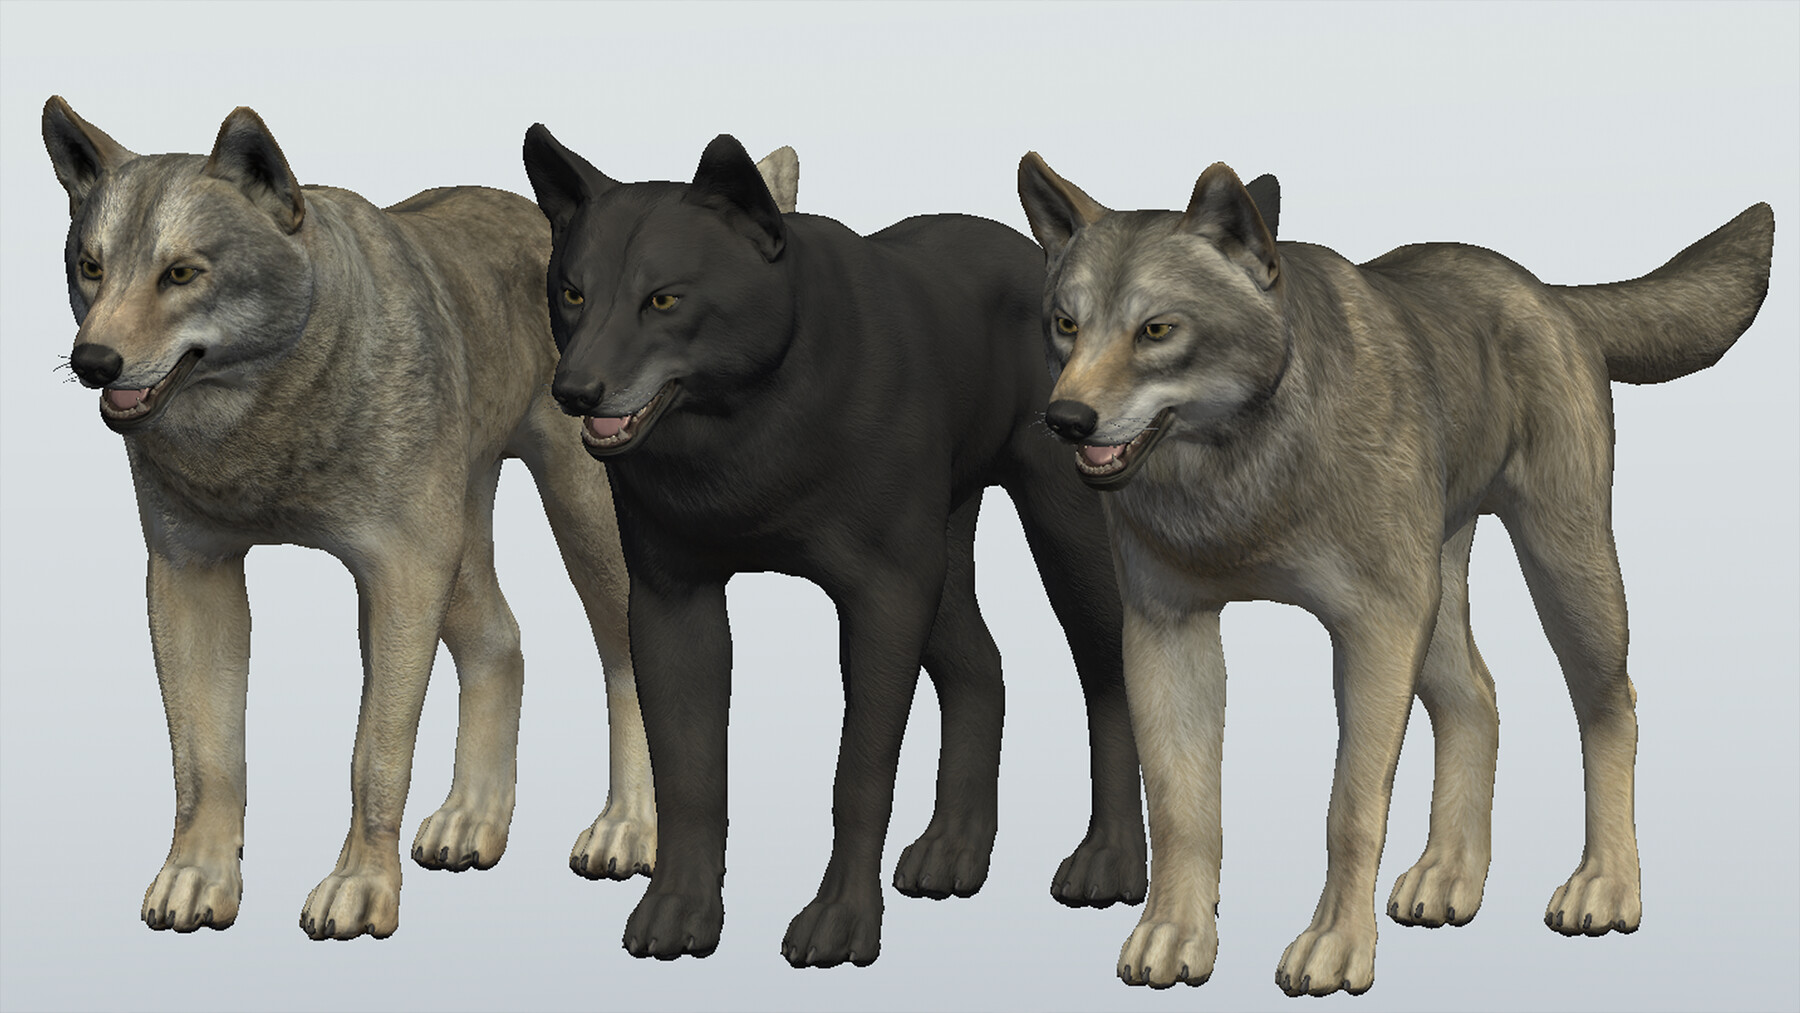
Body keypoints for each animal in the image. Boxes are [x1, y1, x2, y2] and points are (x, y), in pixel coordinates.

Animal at [42, 97, 798, 939]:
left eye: (180, 273)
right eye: (91, 267)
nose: (93, 363)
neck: (272, 412)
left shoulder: (398, 573)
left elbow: (374, 754)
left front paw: (360, 886)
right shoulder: (191, 573)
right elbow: (204, 756)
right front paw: (198, 876)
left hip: (580, 529)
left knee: (623, 661)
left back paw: (628, 827)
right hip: (459, 540)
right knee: (503, 640)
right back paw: (475, 817)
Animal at [522, 126, 1150, 967]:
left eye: (664, 298)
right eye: (572, 294)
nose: (574, 392)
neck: (744, 425)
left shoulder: (882, 592)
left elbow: (857, 775)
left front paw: (841, 920)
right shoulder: (671, 597)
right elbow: (690, 772)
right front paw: (678, 909)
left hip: (1056, 534)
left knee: (1108, 675)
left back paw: (1110, 863)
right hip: (941, 559)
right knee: (982, 668)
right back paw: (953, 848)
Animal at [1018, 153, 1774, 995]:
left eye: (1156, 329)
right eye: (1066, 323)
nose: (1066, 420)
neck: (1240, 477)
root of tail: (1548, 292)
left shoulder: (1374, 626)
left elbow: (1350, 808)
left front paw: (1334, 945)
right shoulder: (1167, 627)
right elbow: (1183, 806)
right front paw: (1175, 932)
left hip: (1561, 565)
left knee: (1611, 705)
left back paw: (1606, 882)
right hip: (1437, 593)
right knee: (1478, 697)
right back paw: (1450, 874)